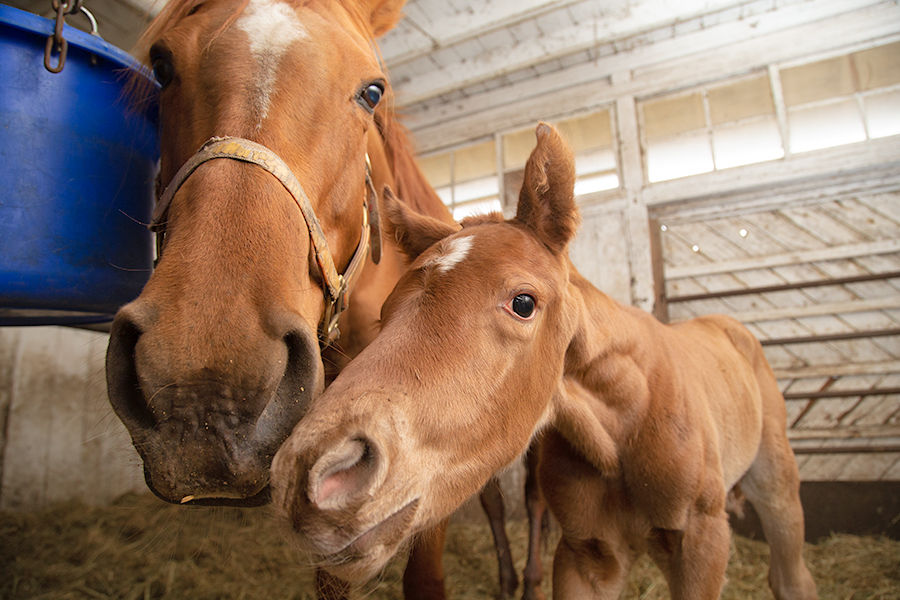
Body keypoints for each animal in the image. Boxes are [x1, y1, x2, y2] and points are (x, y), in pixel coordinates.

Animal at [270, 123, 819, 599]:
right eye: (386, 313)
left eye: (523, 303)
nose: (307, 476)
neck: (624, 426)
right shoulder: (584, 557)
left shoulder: (702, 546)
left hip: (777, 485)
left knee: (791, 575)